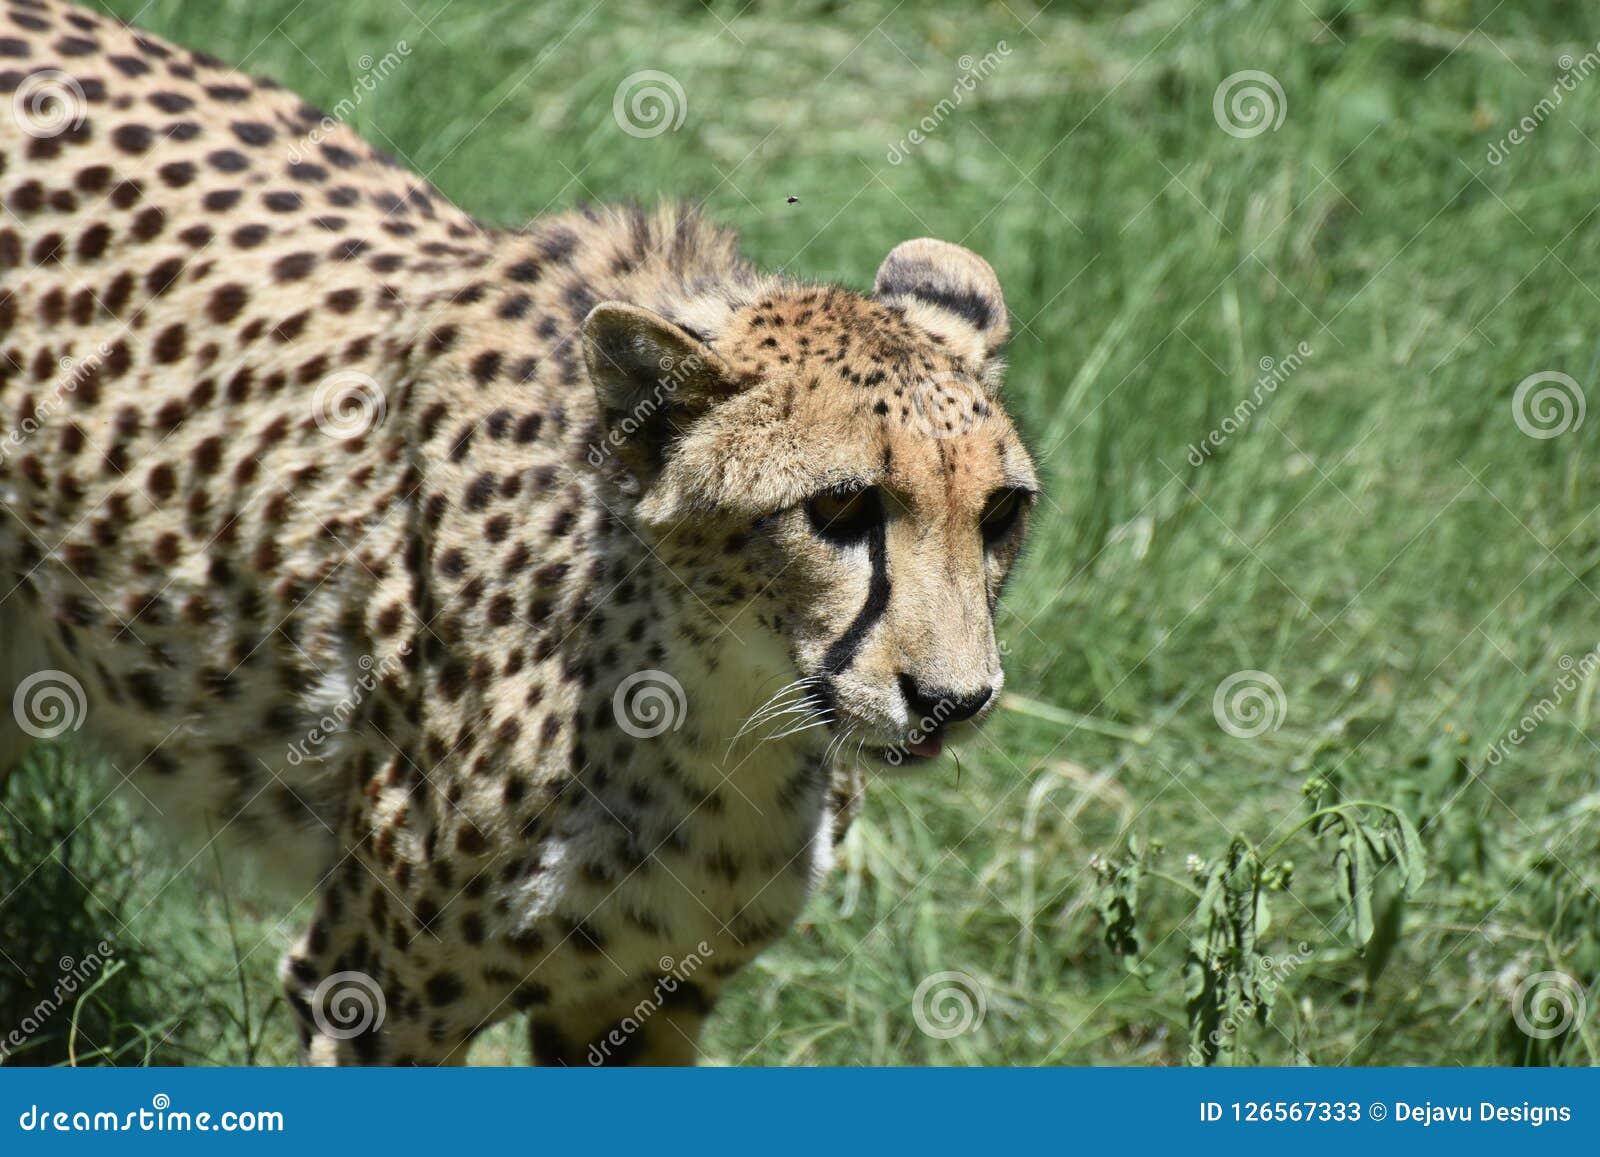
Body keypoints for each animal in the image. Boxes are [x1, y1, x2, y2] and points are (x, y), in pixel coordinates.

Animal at [0, 0, 1037, 1065]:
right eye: (836, 510)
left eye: (1000, 513)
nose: (954, 701)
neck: (719, 714)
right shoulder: (366, 996)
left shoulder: (641, 1000)